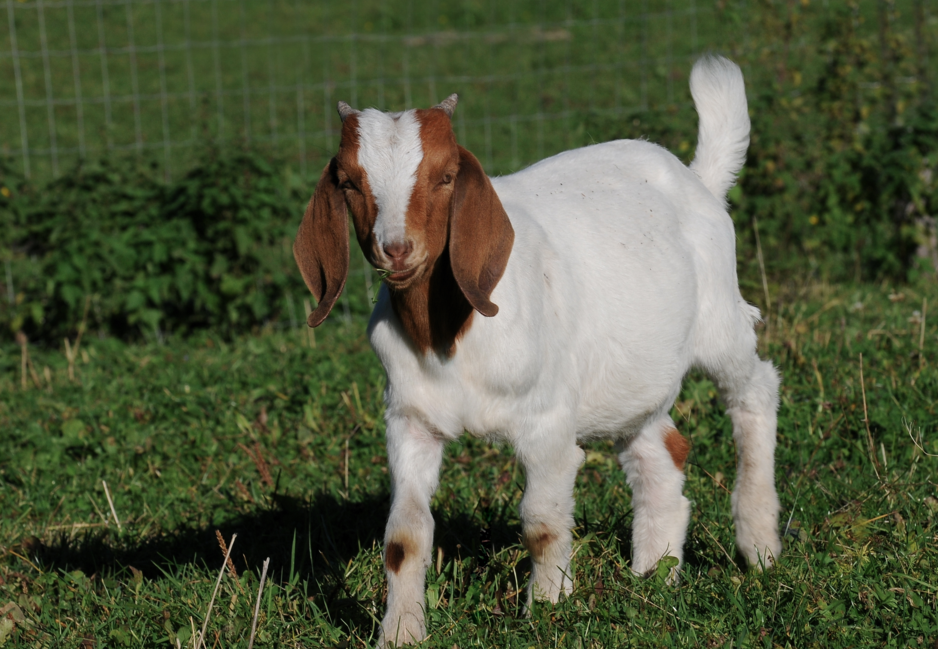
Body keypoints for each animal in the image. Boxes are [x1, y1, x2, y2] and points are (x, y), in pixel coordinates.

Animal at [293, 55, 781, 647]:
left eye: (446, 175)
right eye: (348, 181)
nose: (397, 249)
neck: (450, 338)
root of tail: (698, 181)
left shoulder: (547, 422)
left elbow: (542, 523)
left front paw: (549, 612)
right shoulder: (410, 420)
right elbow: (404, 537)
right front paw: (400, 631)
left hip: (718, 321)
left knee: (755, 390)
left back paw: (758, 545)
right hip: (630, 377)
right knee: (661, 451)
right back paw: (653, 578)